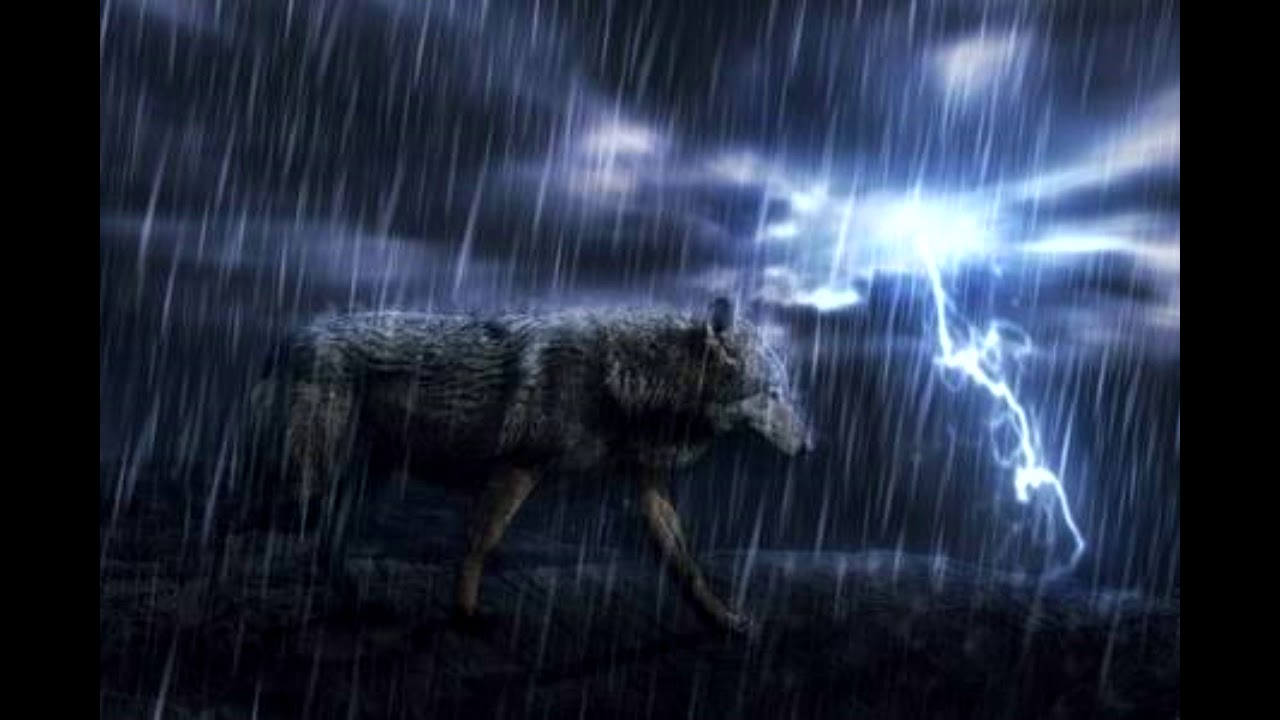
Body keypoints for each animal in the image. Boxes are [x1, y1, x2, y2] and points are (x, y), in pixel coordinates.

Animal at [247, 297, 812, 633]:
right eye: (773, 394)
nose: (810, 446)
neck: (631, 382)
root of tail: (289, 337)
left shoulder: (648, 487)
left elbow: (686, 563)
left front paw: (725, 619)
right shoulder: (520, 464)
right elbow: (482, 540)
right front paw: (467, 615)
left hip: (361, 481)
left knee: (327, 541)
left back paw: (361, 606)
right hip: (306, 477)